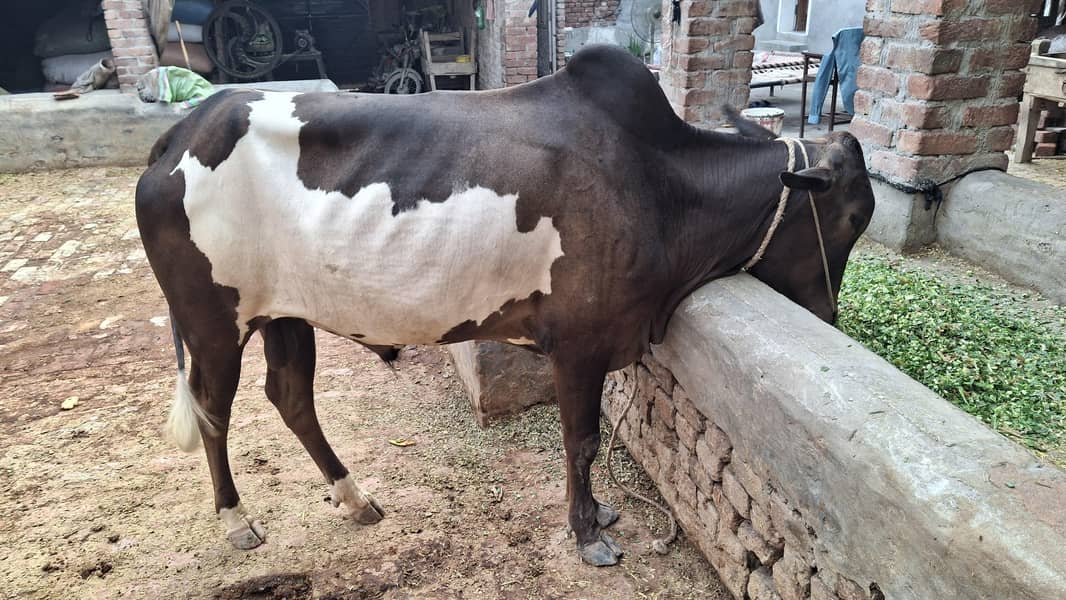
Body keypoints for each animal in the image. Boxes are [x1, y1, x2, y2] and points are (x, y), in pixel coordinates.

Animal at [135, 44, 875, 567]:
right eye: (852, 217)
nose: (828, 315)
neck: (660, 186)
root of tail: (180, 135)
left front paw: (598, 516)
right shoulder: (578, 346)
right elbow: (580, 441)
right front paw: (588, 533)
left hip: (286, 314)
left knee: (290, 397)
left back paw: (356, 498)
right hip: (212, 323)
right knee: (214, 410)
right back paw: (238, 521)